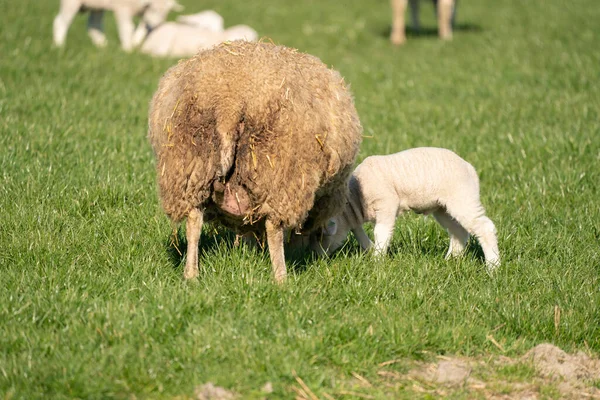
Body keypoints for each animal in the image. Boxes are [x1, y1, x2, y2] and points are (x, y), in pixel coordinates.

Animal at [52, 0, 182, 51]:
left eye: (166, 12)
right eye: (154, 8)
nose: (157, 24)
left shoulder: (143, 13)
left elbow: (142, 28)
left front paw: (135, 42)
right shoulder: (122, 8)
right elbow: (127, 27)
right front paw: (127, 48)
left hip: (97, 6)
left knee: (93, 25)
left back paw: (102, 45)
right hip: (71, 2)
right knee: (61, 22)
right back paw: (59, 44)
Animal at [148, 40, 364, 282]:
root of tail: (228, 102)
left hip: (191, 166)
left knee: (194, 218)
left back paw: (191, 274)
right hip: (278, 172)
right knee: (273, 226)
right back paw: (281, 277)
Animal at [316, 147, 500, 272]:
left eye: (320, 236)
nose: (317, 258)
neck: (356, 196)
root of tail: (470, 168)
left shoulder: (387, 204)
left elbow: (381, 233)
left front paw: (377, 260)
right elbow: (357, 230)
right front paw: (370, 248)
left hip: (462, 197)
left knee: (484, 227)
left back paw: (493, 266)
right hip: (442, 208)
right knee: (459, 232)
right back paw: (449, 260)